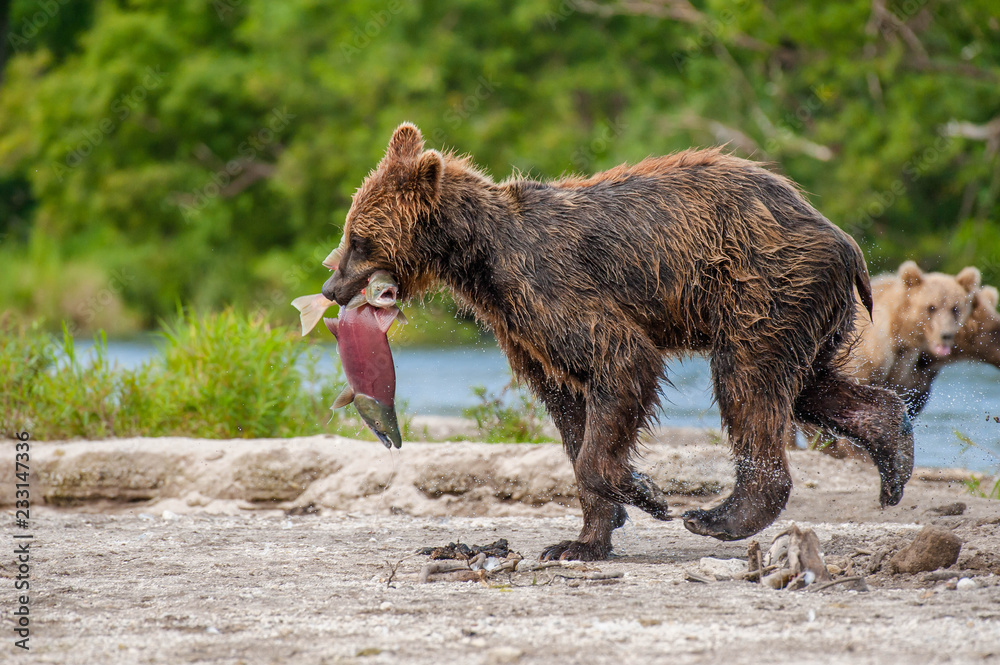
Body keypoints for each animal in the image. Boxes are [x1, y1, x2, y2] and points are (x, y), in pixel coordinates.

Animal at [322, 123, 914, 560]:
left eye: (358, 237)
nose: (330, 287)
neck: (480, 261)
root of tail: (842, 238)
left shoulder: (554, 286)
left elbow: (619, 364)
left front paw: (646, 493)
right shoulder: (522, 328)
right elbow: (569, 408)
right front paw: (581, 540)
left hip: (763, 287)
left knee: (749, 384)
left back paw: (718, 516)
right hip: (805, 312)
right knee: (809, 386)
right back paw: (893, 453)